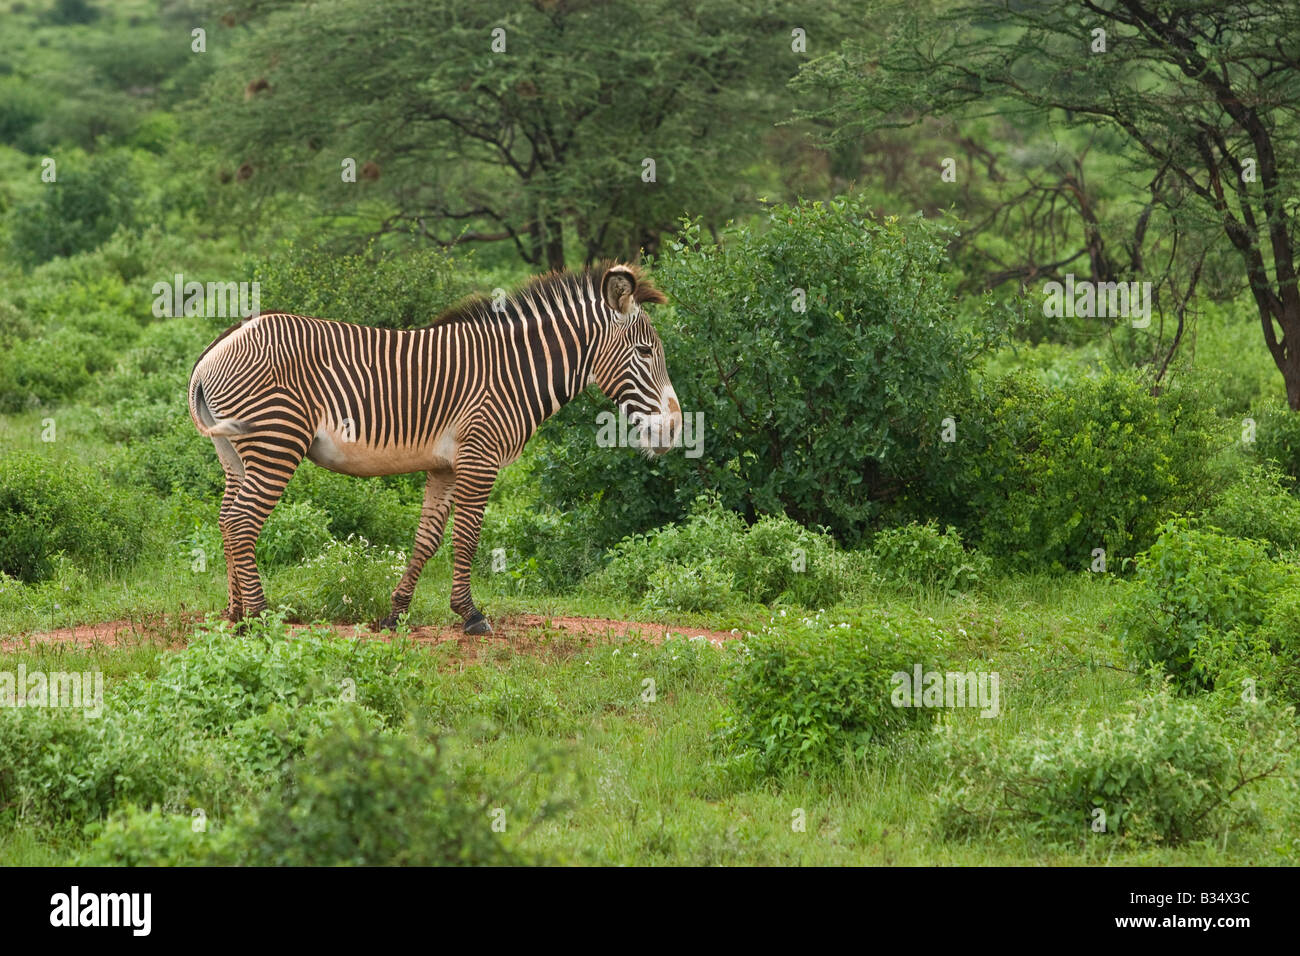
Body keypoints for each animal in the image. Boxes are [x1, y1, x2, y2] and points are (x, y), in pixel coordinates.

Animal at [188, 262, 681, 634]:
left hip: (234, 453)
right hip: (276, 441)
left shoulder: (445, 465)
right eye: (644, 352)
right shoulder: (480, 456)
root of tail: (218, 346)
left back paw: (234, 615)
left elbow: (427, 539)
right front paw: (471, 615)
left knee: (226, 519)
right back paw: (259, 615)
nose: (675, 430)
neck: (514, 372)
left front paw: (396, 613)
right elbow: (467, 537)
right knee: (242, 521)